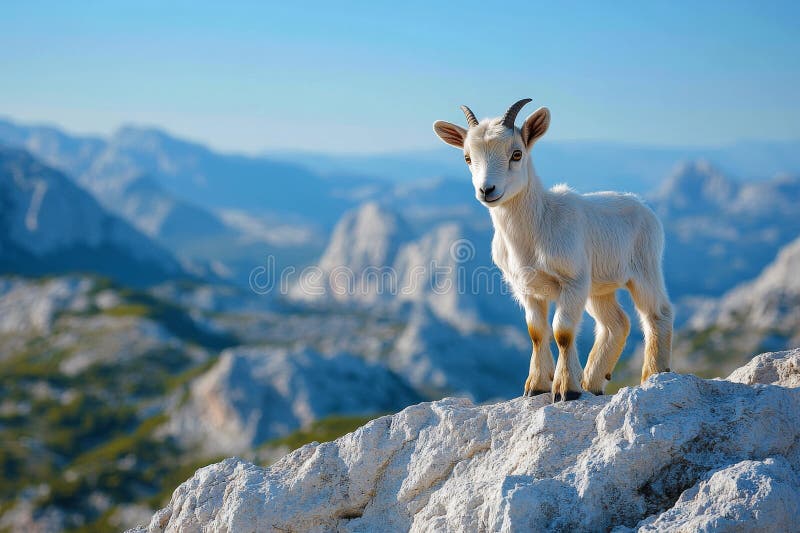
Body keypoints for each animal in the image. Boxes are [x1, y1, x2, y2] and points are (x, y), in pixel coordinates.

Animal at [433, 99, 673, 401]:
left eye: (516, 154)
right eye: (467, 158)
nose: (487, 190)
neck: (538, 225)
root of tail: (643, 206)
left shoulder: (572, 282)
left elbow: (563, 333)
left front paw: (565, 389)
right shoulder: (527, 288)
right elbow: (536, 332)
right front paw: (536, 386)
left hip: (644, 266)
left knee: (657, 313)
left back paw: (652, 376)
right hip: (598, 287)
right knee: (616, 323)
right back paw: (593, 384)